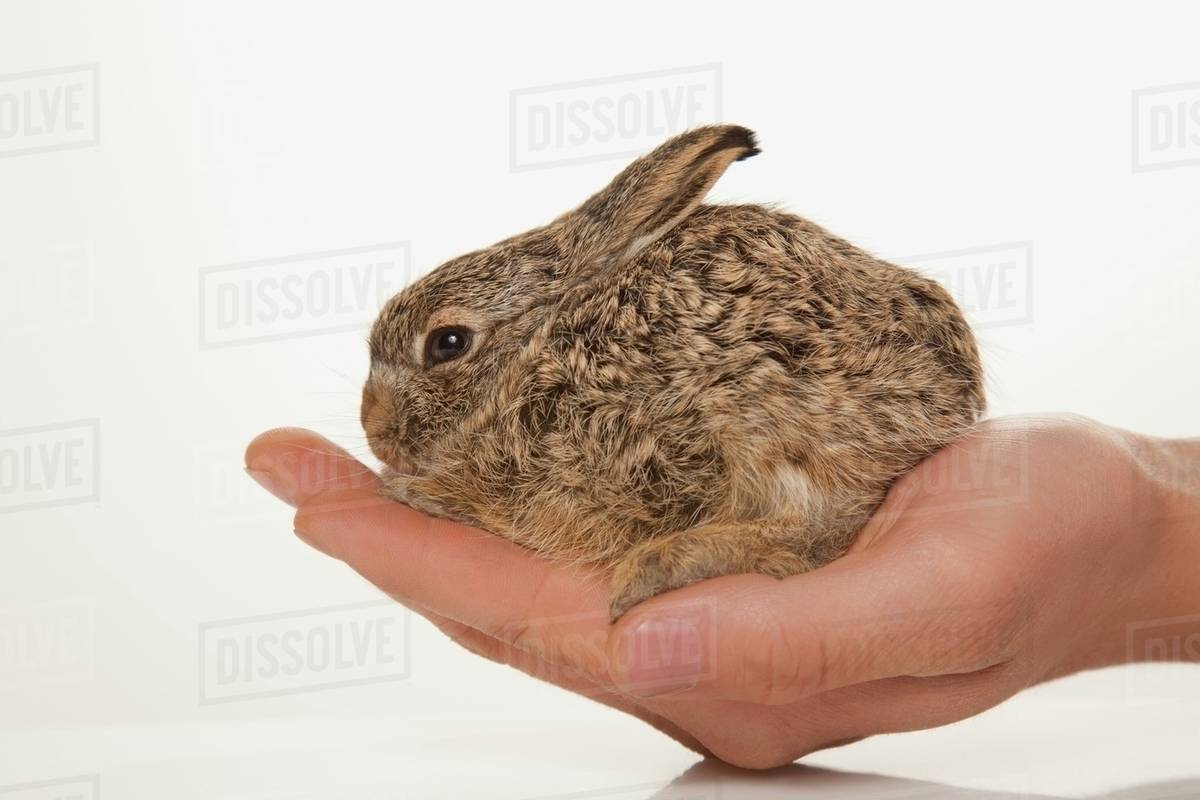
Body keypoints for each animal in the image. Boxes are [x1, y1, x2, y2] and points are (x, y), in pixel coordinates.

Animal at [361, 124, 985, 621]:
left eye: (447, 344)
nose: (374, 431)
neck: (530, 355)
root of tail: (954, 401)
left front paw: (423, 494)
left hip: (758, 412)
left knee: (816, 529)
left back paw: (655, 567)